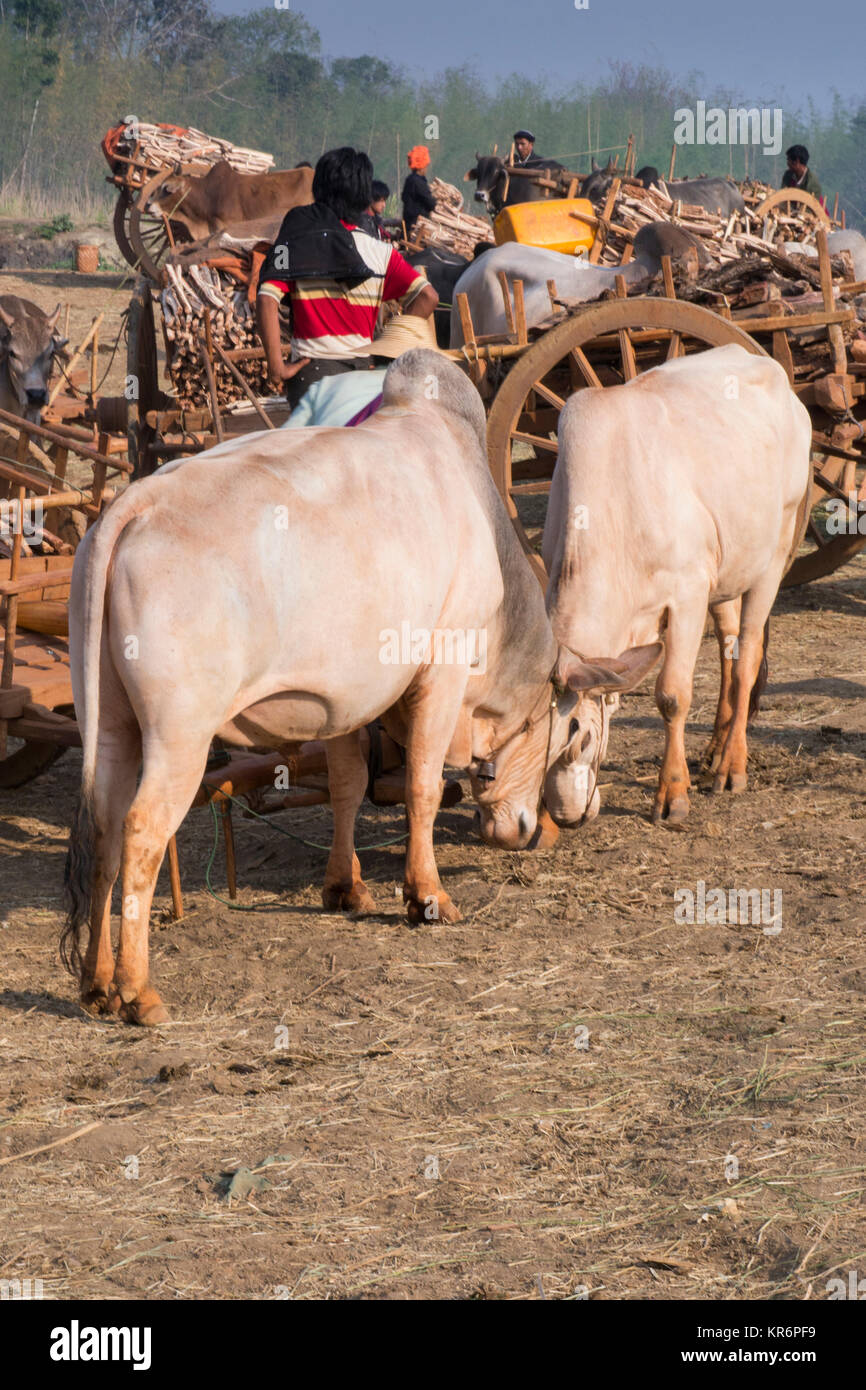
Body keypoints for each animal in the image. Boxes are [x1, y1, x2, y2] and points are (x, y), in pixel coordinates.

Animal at [62, 349, 600, 1025]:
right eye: (576, 732)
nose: (547, 827)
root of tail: (131, 505)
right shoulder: (442, 668)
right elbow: (423, 787)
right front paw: (426, 897)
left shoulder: (346, 701)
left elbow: (348, 785)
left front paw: (345, 888)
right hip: (178, 735)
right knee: (140, 832)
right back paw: (139, 993)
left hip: (111, 725)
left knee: (104, 826)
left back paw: (97, 982)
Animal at [542, 345, 811, 829]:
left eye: (581, 737)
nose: (565, 815)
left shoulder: (686, 595)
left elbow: (672, 695)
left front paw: (672, 793)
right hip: (726, 570)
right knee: (728, 646)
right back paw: (715, 749)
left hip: (773, 552)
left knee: (748, 655)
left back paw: (731, 765)